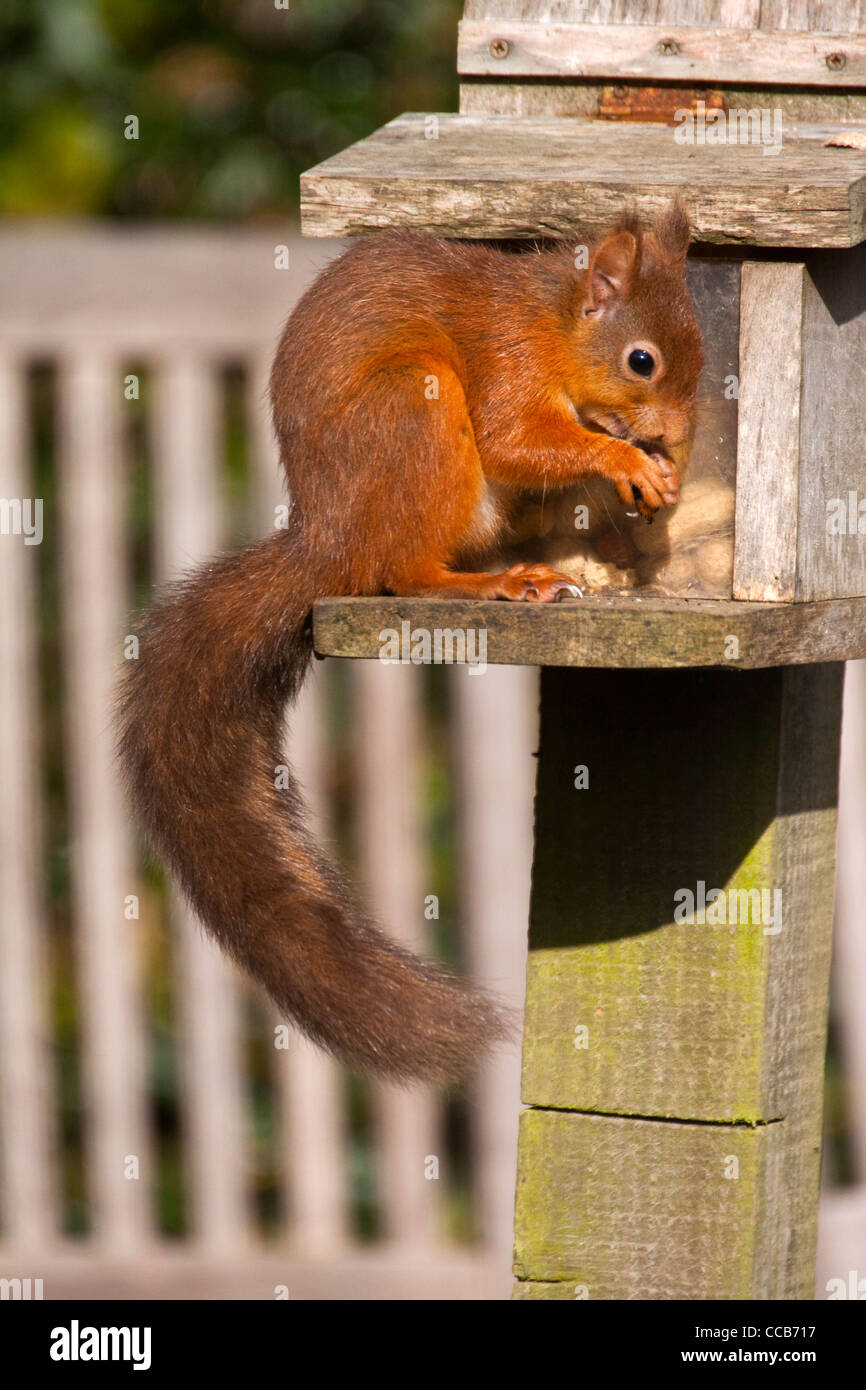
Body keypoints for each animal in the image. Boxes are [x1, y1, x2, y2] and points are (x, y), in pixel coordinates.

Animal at [118, 199, 704, 1085]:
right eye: (642, 361)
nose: (675, 435)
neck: (552, 321)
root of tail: (328, 542)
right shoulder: (506, 364)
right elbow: (514, 438)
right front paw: (622, 458)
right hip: (414, 415)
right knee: (402, 572)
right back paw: (497, 583)